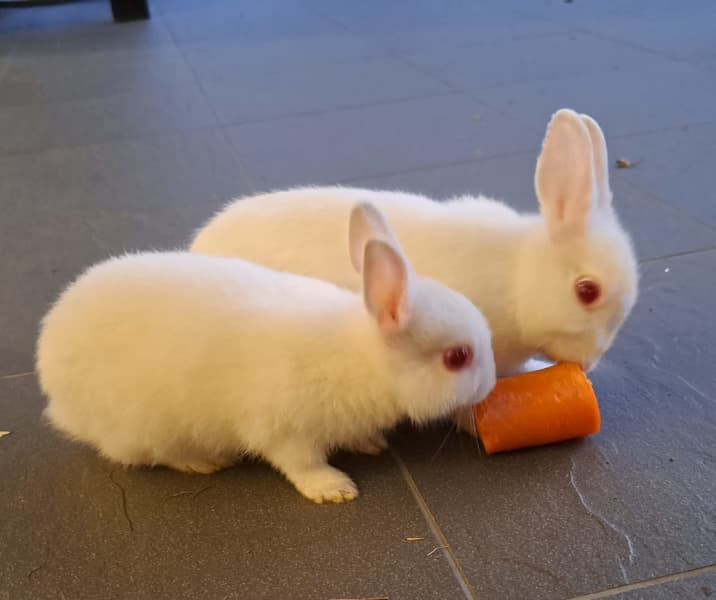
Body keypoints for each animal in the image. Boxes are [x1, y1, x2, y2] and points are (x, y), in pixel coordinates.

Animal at [36, 203, 496, 504]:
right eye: (457, 357)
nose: (491, 386)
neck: (365, 360)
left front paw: (370, 443)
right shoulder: (285, 431)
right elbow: (300, 464)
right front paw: (335, 489)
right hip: (144, 426)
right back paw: (204, 462)